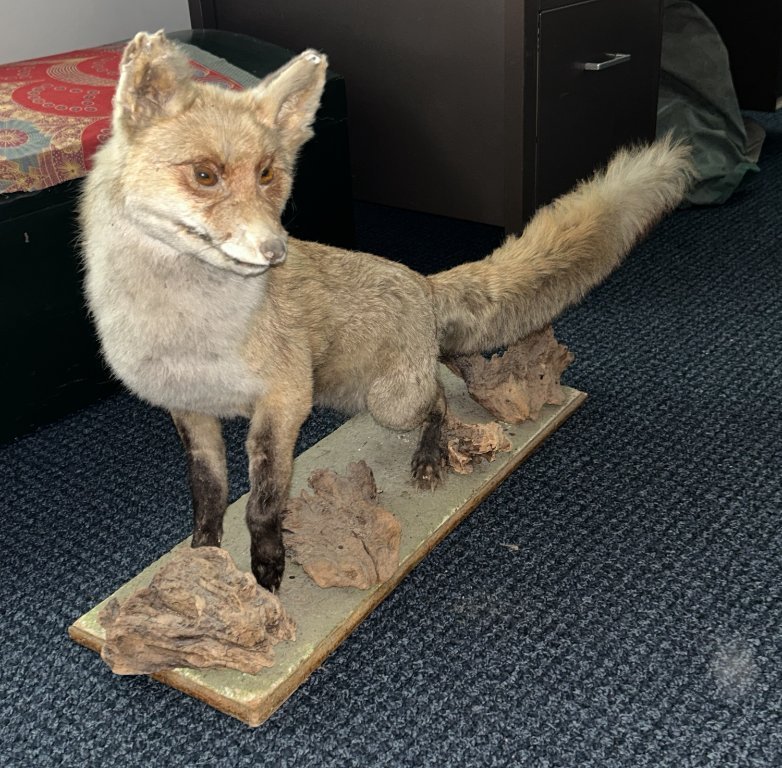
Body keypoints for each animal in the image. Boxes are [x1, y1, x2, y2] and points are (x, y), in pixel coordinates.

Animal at [81, 31, 692, 592]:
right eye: (204, 175)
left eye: (267, 175)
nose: (277, 251)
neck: (186, 333)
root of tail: (421, 280)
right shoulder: (190, 411)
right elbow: (208, 500)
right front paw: (200, 564)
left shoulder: (284, 402)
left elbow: (262, 505)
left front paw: (268, 572)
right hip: (351, 395)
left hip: (387, 401)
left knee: (440, 399)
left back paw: (430, 457)